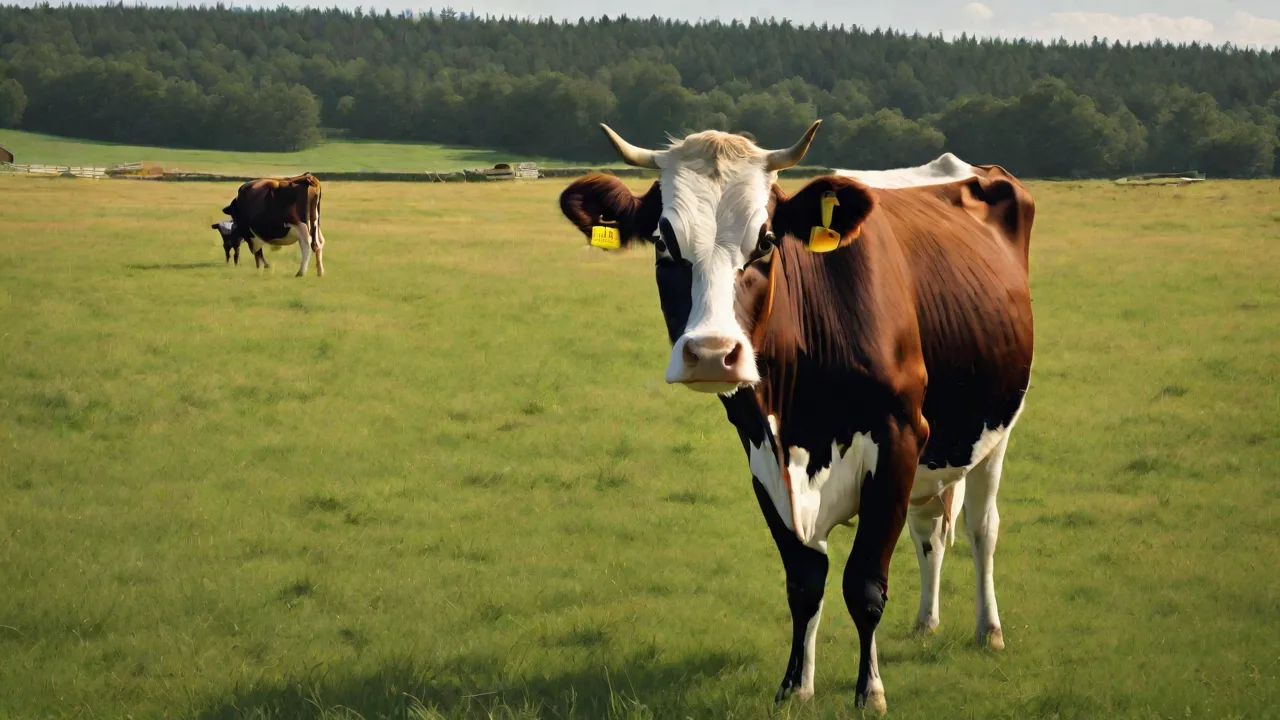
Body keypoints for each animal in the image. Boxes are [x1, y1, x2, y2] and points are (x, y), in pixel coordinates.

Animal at [556, 123, 1035, 714]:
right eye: (664, 244)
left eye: (765, 242)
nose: (712, 354)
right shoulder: (765, 456)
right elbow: (806, 581)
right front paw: (795, 685)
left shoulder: (900, 437)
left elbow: (864, 583)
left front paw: (869, 691)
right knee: (929, 531)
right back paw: (926, 622)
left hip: (996, 429)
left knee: (980, 528)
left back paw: (988, 629)